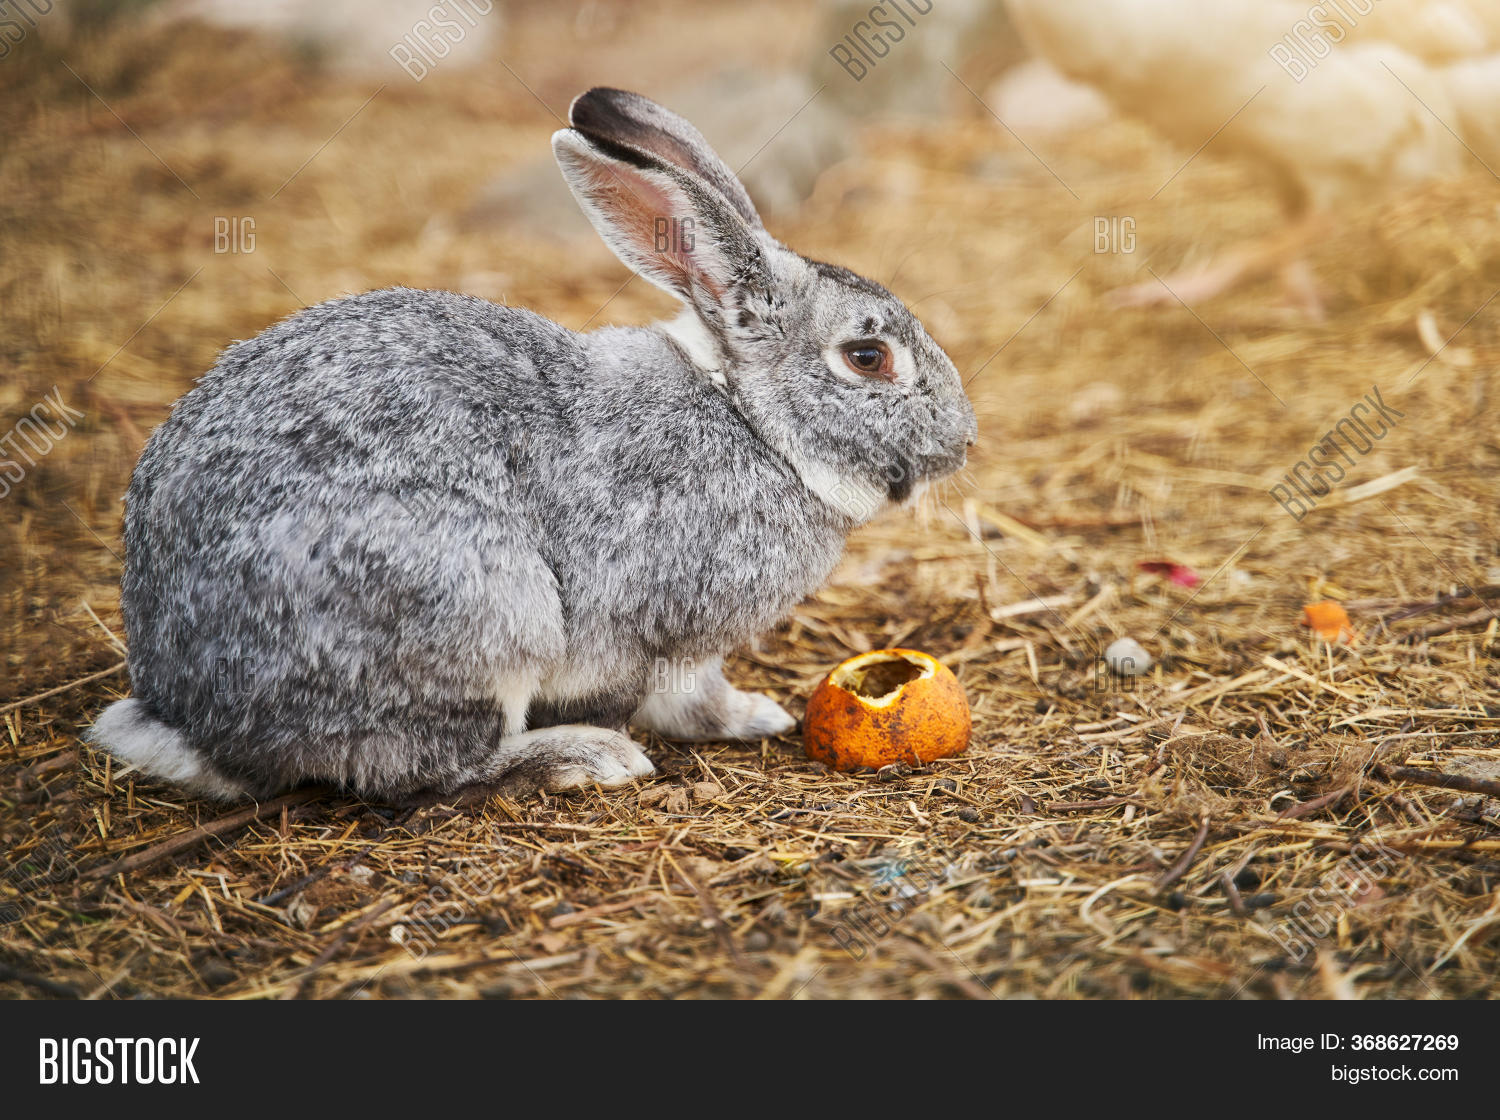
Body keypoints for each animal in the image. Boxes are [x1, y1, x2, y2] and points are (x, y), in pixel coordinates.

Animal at [86, 87, 978, 802]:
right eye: (867, 358)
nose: (962, 441)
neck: (751, 421)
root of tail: (199, 725)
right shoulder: (679, 634)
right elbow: (690, 699)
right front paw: (756, 715)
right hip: (480, 607)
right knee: (421, 769)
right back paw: (585, 757)